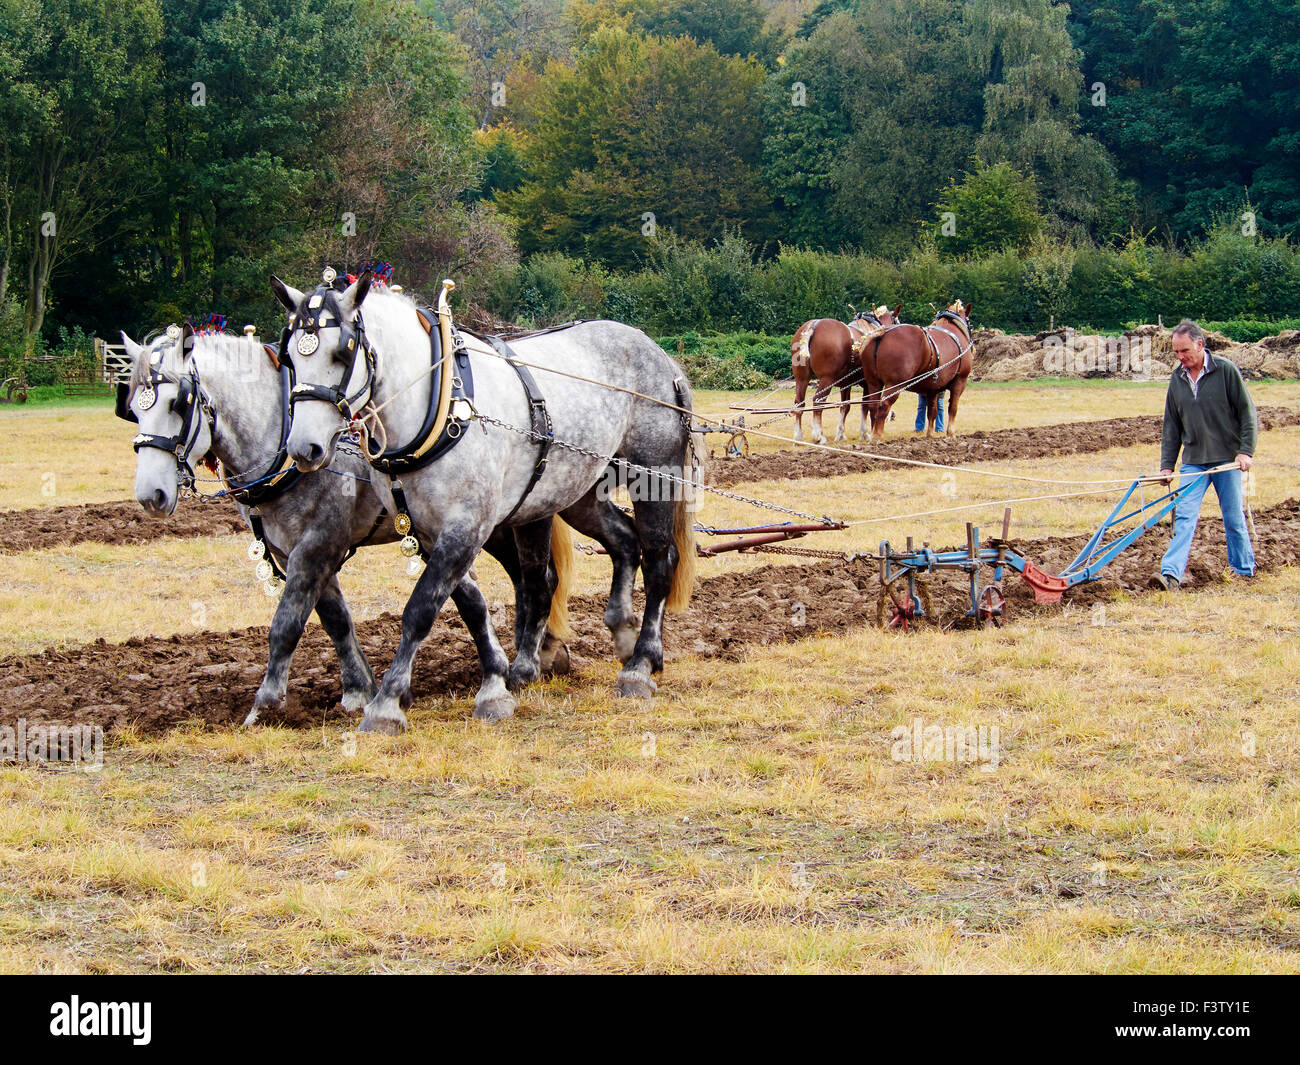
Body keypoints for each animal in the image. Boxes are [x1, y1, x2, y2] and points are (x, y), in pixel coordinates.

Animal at [119, 323, 575, 727]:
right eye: (133, 408)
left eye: (177, 403)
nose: (150, 496)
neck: (282, 436)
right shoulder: (303, 549)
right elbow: (336, 618)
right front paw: (360, 689)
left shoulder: (318, 544)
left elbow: (287, 624)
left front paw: (265, 706)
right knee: (524, 581)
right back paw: (538, 652)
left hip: (512, 519)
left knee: (539, 580)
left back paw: (539, 654)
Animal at [271, 271, 699, 734]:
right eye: (289, 358)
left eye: (342, 352)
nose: (305, 448)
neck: (441, 403)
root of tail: (660, 355)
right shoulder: (427, 533)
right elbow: (470, 603)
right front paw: (500, 681)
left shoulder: (467, 526)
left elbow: (420, 609)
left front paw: (386, 705)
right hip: (577, 491)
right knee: (618, 543)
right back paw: (606, 639)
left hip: (654, 474)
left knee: (659, 560)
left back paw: (641, 663)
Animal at [791, 306, 900, 444]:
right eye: (897, 321)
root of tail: (813, 326)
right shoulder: (868, 383)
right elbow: (866, 406)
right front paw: (865, 433)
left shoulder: (846, 384)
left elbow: (845, 406)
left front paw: (840, 434)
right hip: (827, 379)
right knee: (818, 402)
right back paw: (819, 435)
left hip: (801, 378)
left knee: (799, 403)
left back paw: (798, 436)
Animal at [856, 300, 975, 442]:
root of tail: (881, 334)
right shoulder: (960, 381)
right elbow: (953, 408)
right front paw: (951, 433)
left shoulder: (933, 388)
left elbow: (932, 411)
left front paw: (930, 434)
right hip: (894, 384)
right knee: (884, 405)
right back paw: (877, 436)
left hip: (874, 382)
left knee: (873, 406)